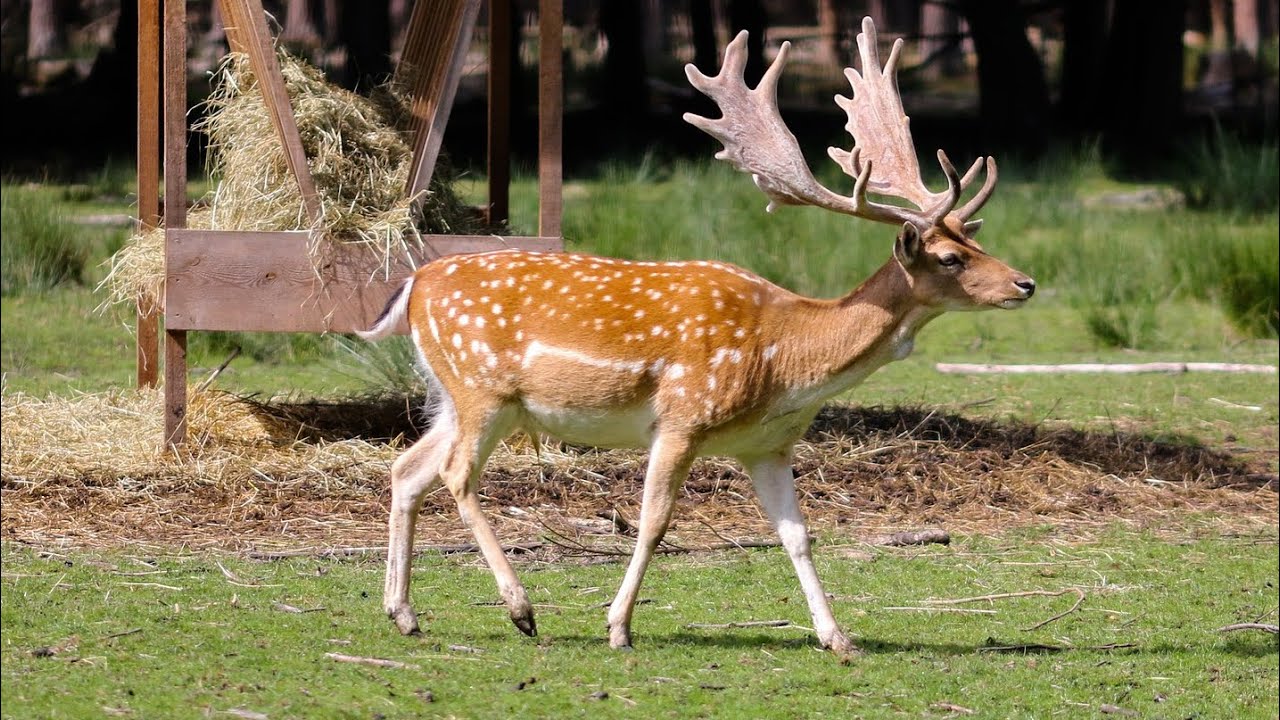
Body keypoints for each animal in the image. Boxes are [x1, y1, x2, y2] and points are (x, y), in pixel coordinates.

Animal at [357, 16, 1035, 657]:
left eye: (974, 241)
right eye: (950, 258)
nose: (1025, 283)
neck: (784, 360)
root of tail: (414, 283)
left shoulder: (768, 446)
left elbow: (798, 534)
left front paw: (837, 637)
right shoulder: (681, 417)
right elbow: (653, 522)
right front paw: (618, 626)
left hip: (456, 396)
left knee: (406, 469)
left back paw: (403, 613)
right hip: (483, 388)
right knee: (456, 475)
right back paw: (521, 609)